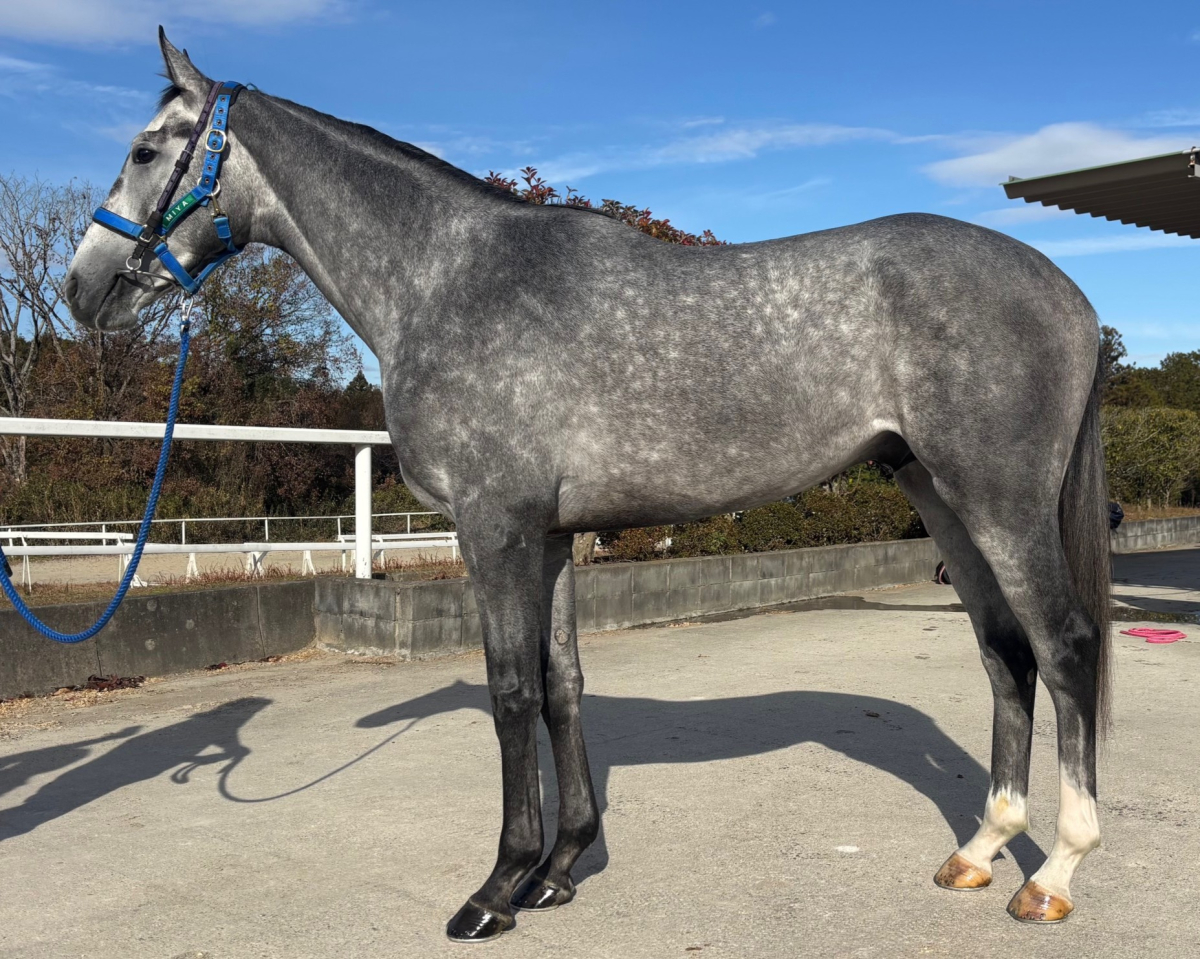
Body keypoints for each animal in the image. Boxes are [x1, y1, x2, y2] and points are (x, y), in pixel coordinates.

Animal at [63, 31, 1112, 942]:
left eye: (145, 148)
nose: (83, 288)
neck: (447, 277)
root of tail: (1067, 292)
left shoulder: (493, 527)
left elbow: (511, 690)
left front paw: (497, 887)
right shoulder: (555, 534)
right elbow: (564, 685)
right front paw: (561, 868)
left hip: (999, 500)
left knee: (1063, 647)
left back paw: (1055, 873)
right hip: (937, 494)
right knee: (1003, 652)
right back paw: (979, 850)